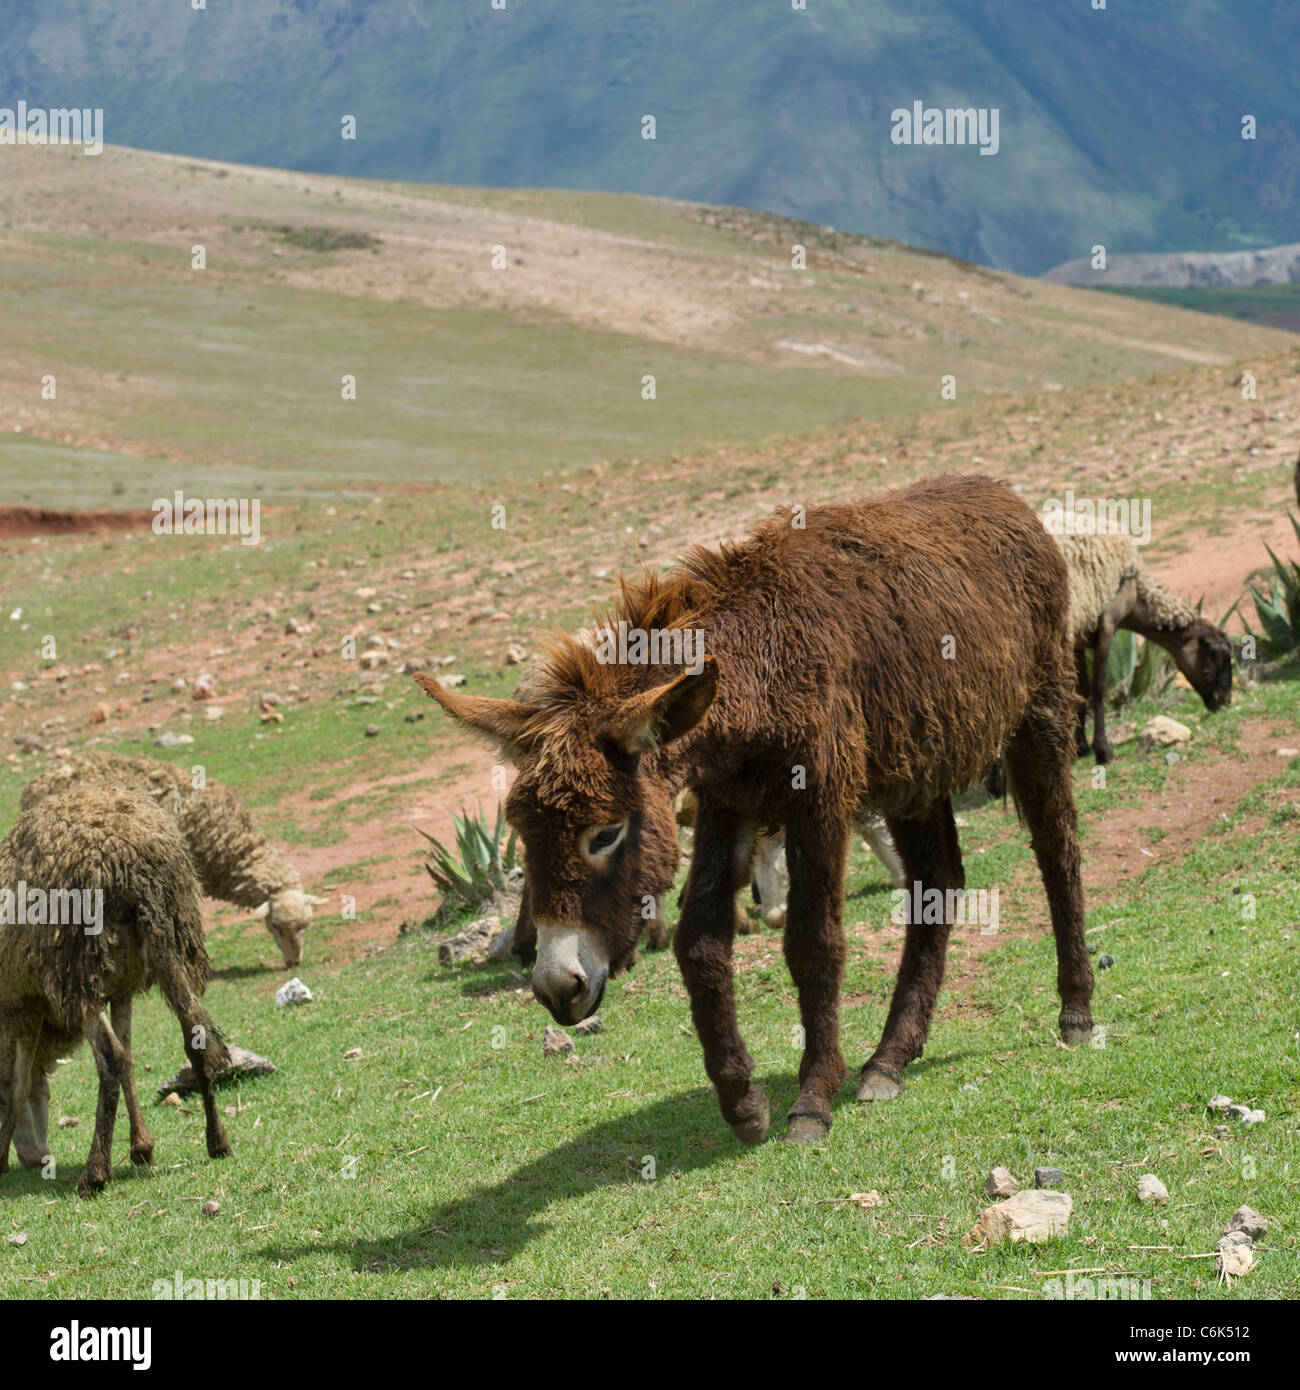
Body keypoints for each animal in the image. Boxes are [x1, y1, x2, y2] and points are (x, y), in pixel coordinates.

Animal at [0, 784, 232, 1196]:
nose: (37, 1158)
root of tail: (134, 861)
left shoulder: (23, 1008)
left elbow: (17, 1083)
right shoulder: (120, 990)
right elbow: (130, 1059)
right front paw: (142, 1146)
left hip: (78, 971)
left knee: (108, 1060)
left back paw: (94, 1172)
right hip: (169, 947)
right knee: (193, 1039)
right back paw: (217, 1141)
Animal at [1057, 530, 1232, 763]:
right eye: (1222, 655)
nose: (1227, 700)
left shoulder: (1080, 633)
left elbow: (1081, 690)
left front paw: (1081, 747)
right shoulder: (1107, 623)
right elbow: (1098, 689)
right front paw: (1103, 751)